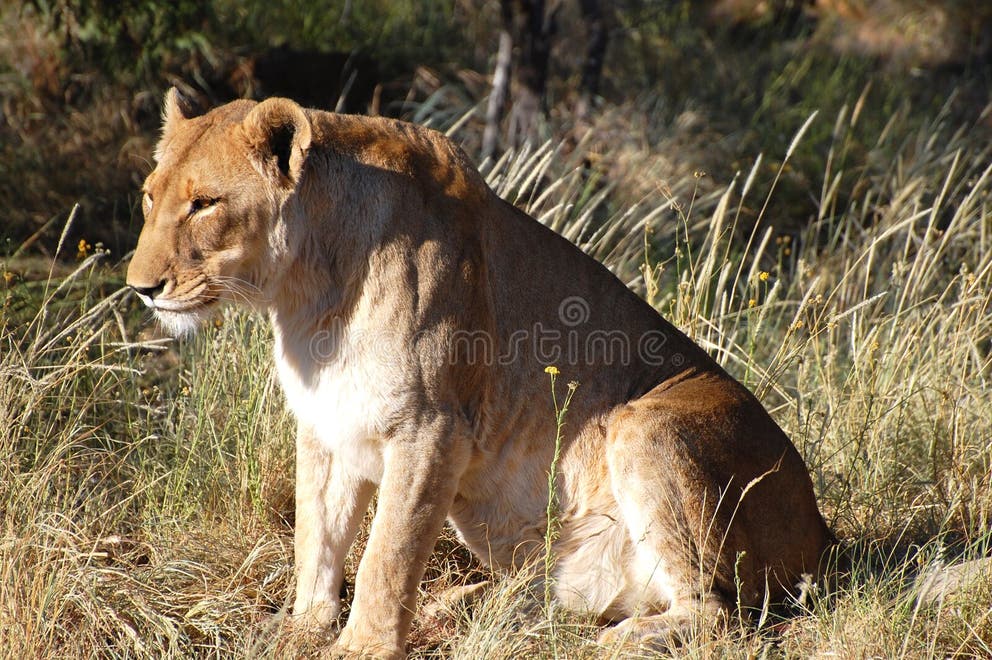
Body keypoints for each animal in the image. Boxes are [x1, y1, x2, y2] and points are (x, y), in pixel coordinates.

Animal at [126, 88, 833, 657]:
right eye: (149, 198)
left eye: (204, 204)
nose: (140, 288)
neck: (307, 290)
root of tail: (822, 535)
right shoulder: (328, 424)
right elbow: (317, 538)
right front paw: (303, 629)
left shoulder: (431, 428)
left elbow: (387, 553)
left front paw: (360, 647)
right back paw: (462, 607)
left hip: (646, 424)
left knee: (718, 613)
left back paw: (611, 641)